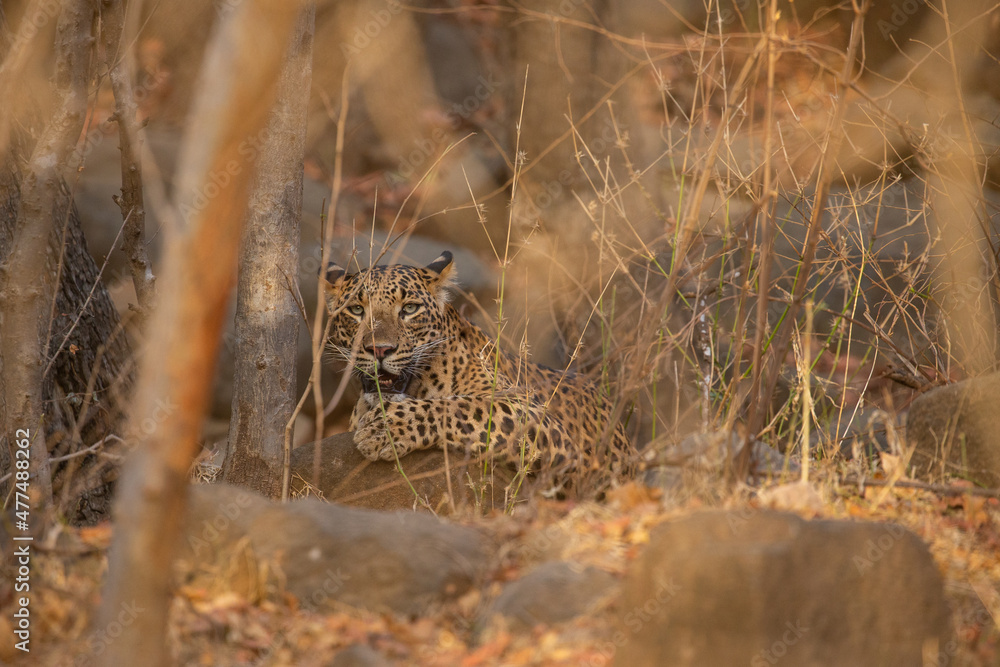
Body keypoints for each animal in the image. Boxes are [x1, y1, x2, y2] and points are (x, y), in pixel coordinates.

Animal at [323, 251, 635, 493]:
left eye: (409, 308)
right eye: (356, 310)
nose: (379, 349)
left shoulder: (538, 416)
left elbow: (463, 406)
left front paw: (384, 429)